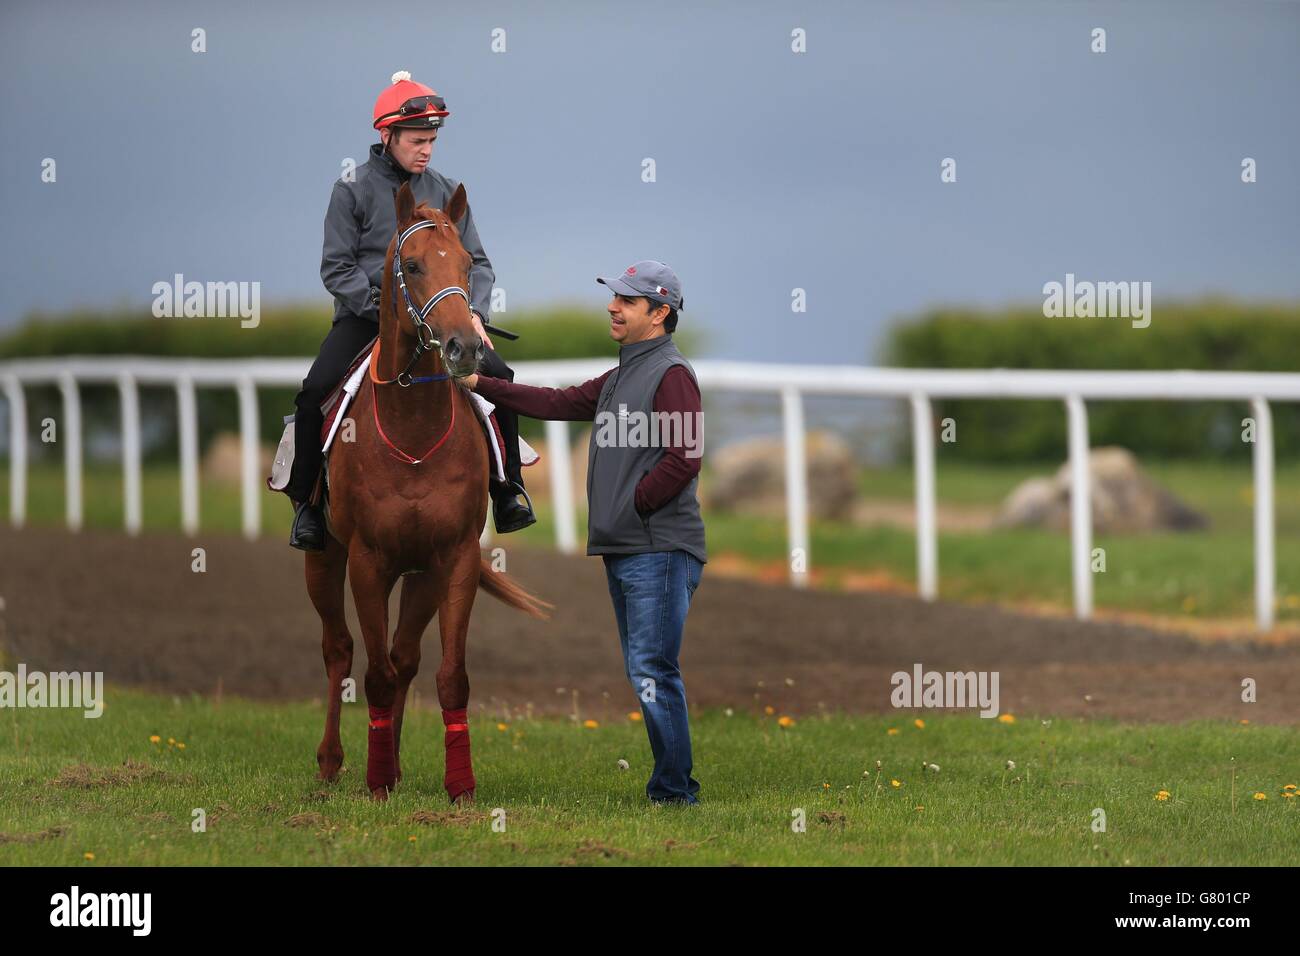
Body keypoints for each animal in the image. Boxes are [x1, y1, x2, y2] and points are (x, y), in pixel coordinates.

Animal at [306, 180, 549, 803]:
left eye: (466, 264)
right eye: (412, 265)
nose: (465, 345)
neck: (411, 428)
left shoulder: (453, 558)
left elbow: (447, 676)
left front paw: (458, 786)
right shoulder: (367, 561)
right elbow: (373, 674)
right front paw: (375, 783)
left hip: (420, 575)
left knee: (404, 658)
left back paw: (391, 762)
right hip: (323, 558)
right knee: (339, 650)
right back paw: (333, 761)